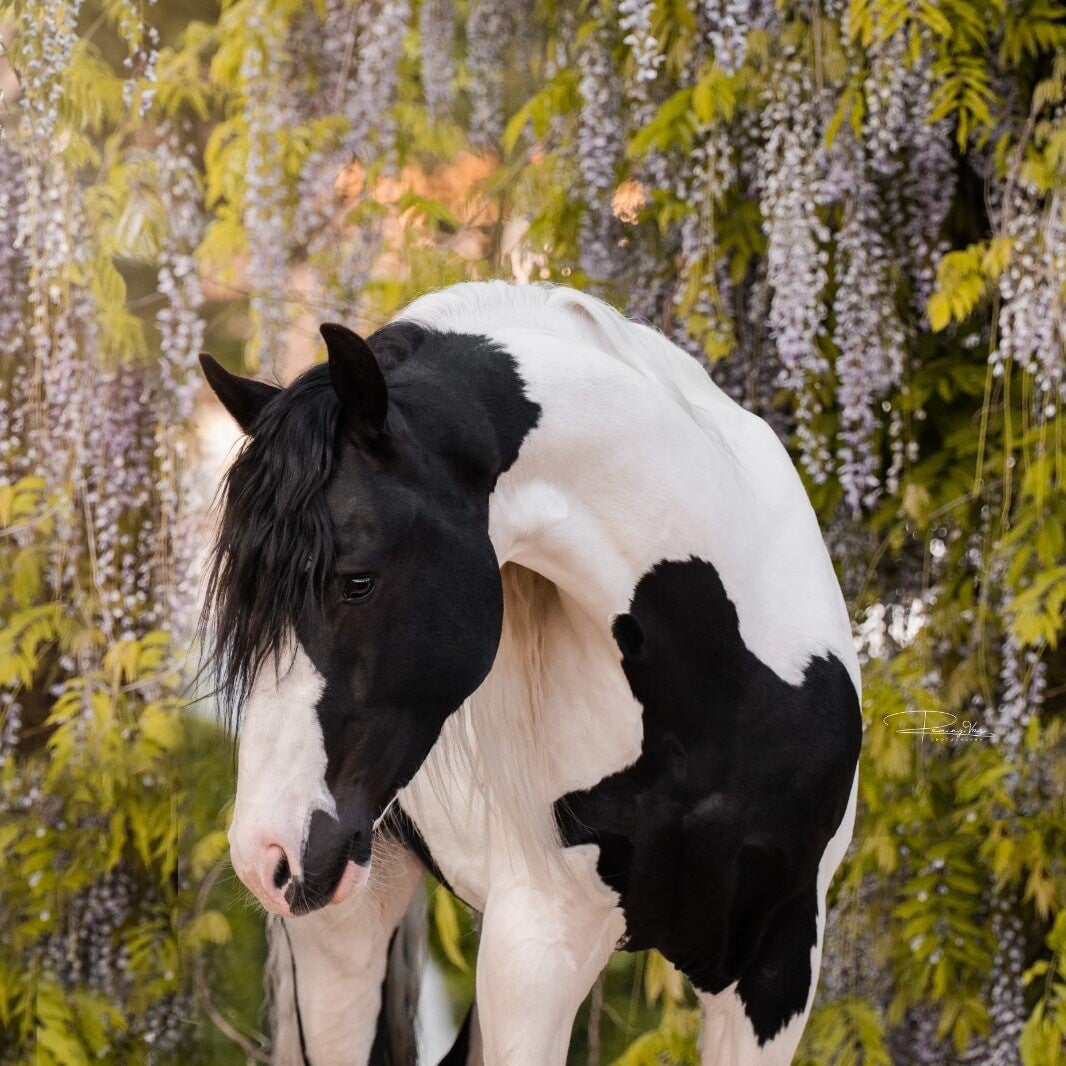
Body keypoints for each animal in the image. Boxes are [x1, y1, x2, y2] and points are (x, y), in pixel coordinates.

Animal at [199, 281, 862, 1065]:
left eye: (356, 582)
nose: (264, 853)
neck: (716, 698)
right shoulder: (538, 950)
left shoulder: (776, 967)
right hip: (345, 933)